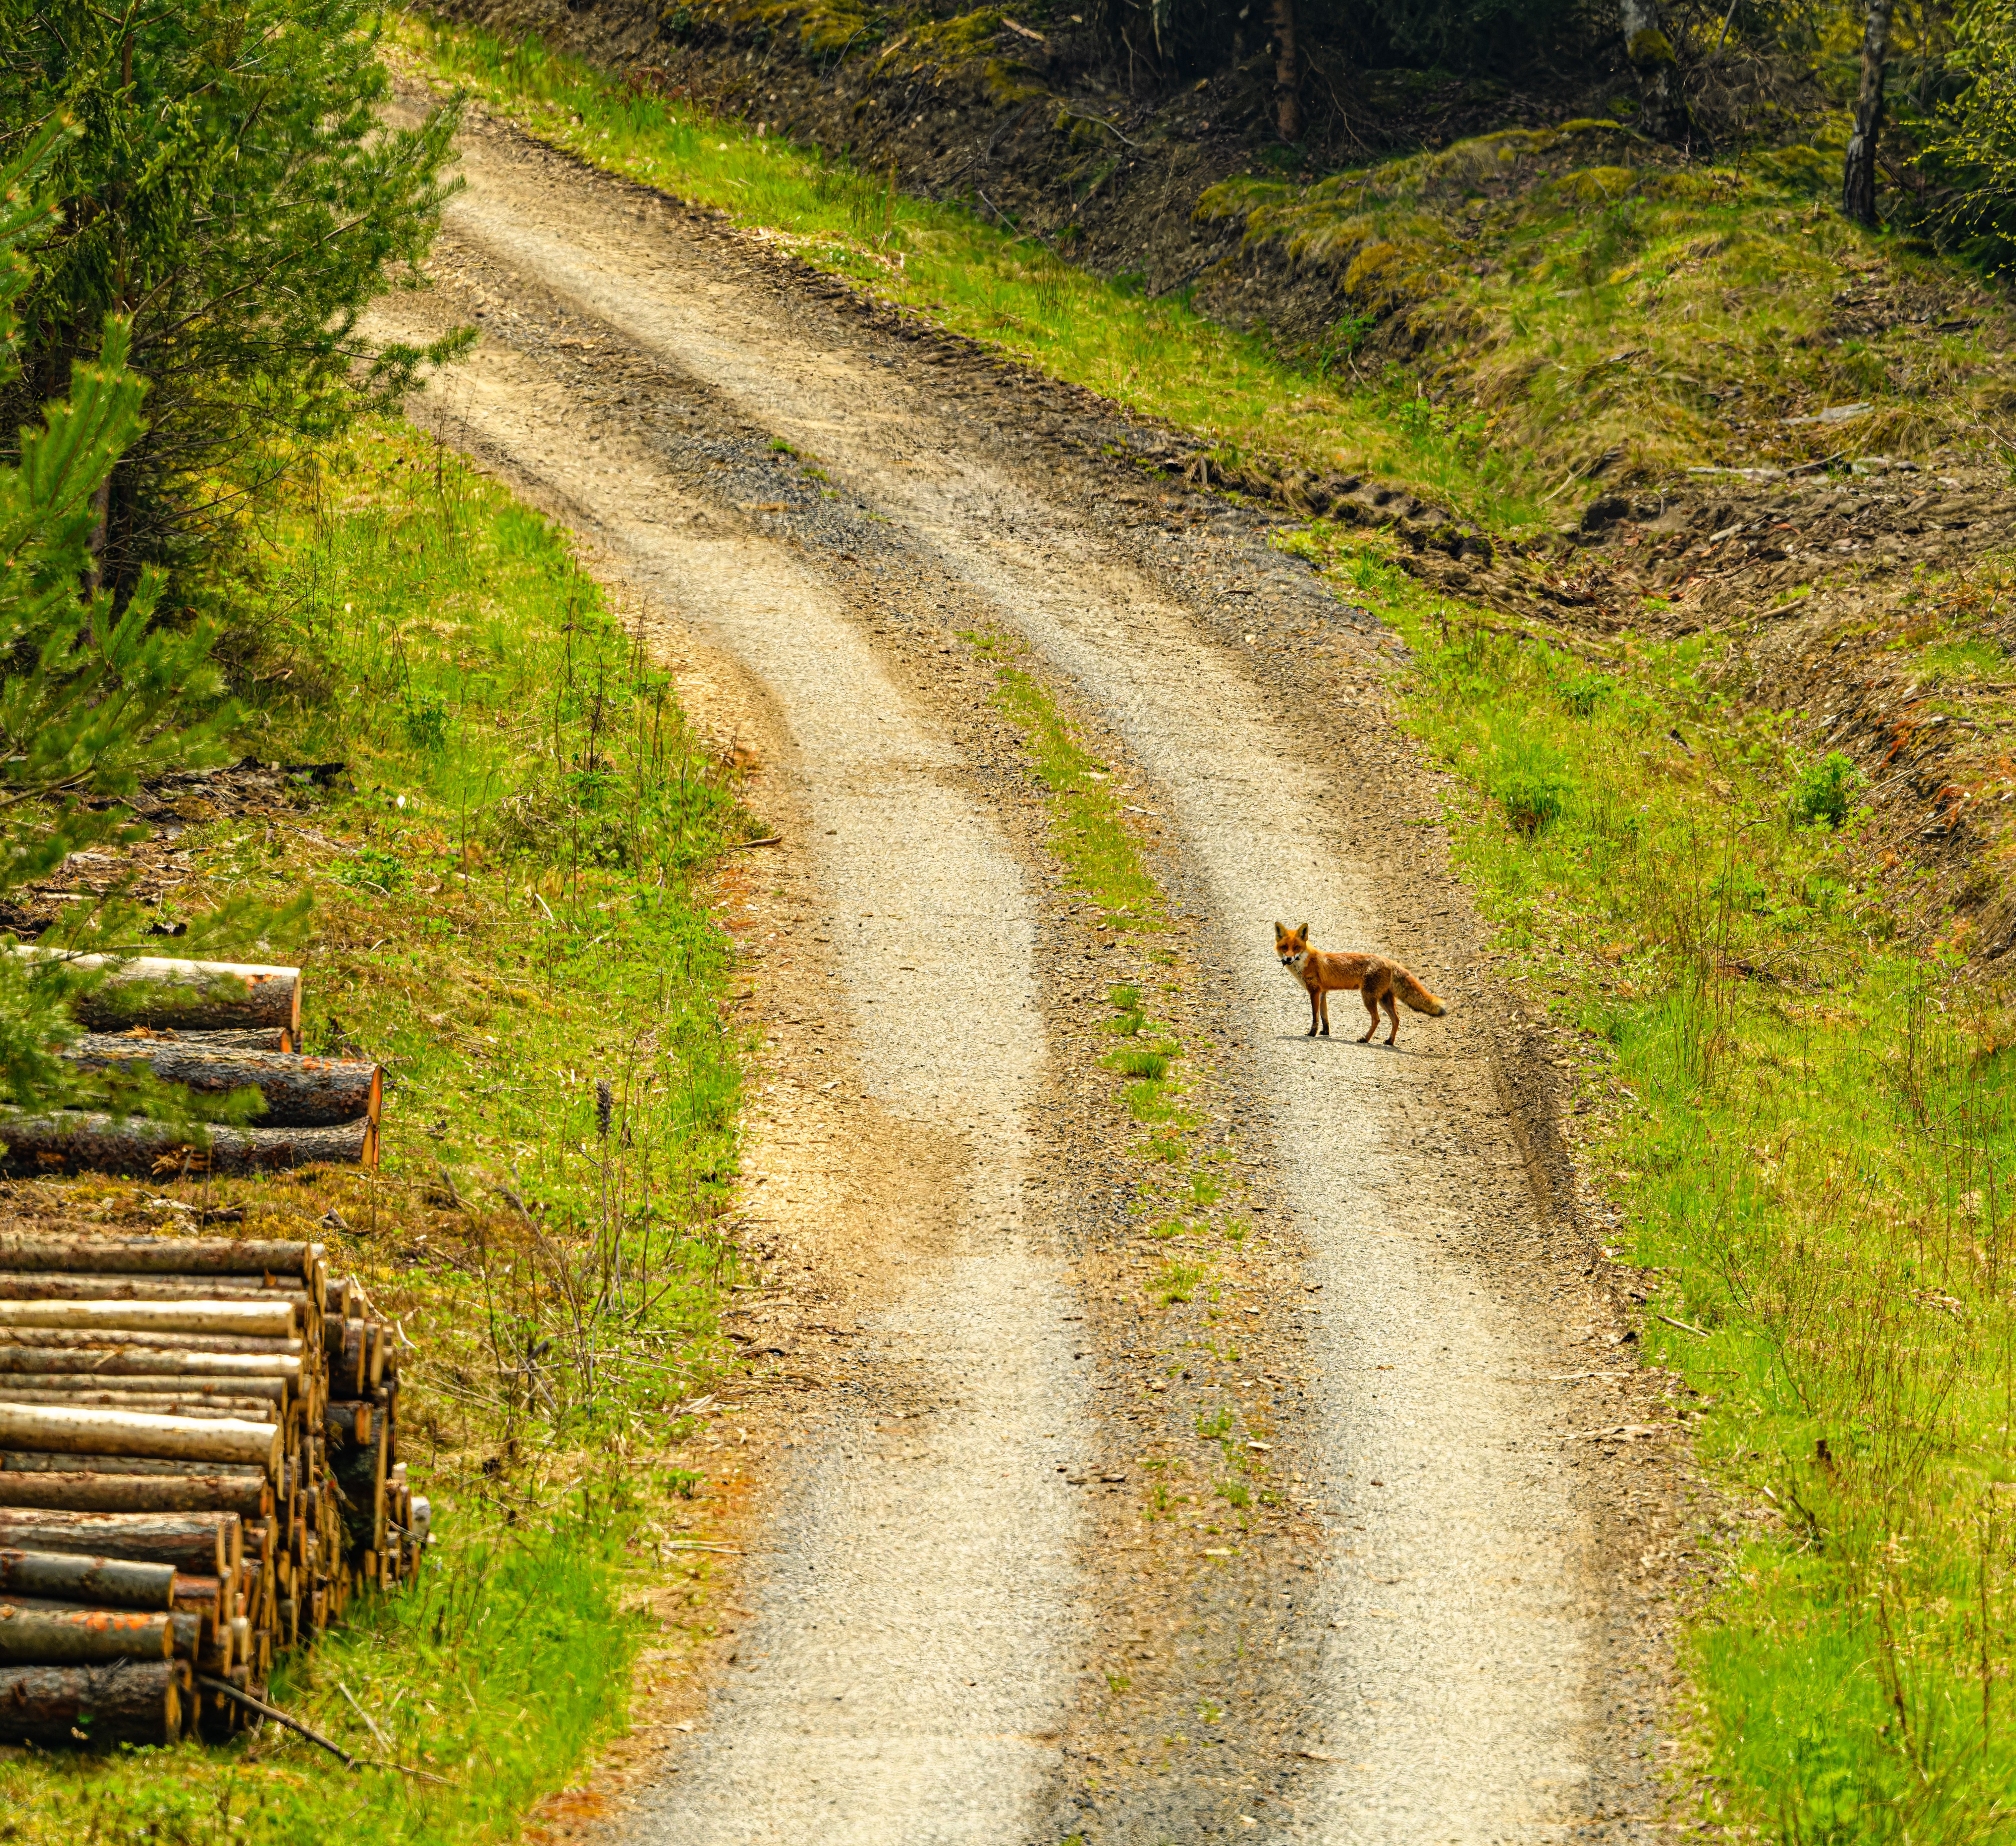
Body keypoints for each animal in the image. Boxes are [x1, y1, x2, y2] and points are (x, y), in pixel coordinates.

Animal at [1274, 922, 1448, 1046]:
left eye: (1297, 948)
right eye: (1285, 947)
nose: (1288, 959)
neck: (1306, 961)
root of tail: (1389, 961)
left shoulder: (1315, 991)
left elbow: (1315, 1016)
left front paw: (1312, 1033)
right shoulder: (1323, 992)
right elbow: (1325, 1017)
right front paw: (1326, 1033)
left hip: (1369, 997)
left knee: (1377, 1019)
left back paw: (1365, 1039)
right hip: (1384, 999)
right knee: (1396, 1019)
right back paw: (1390, 1042)